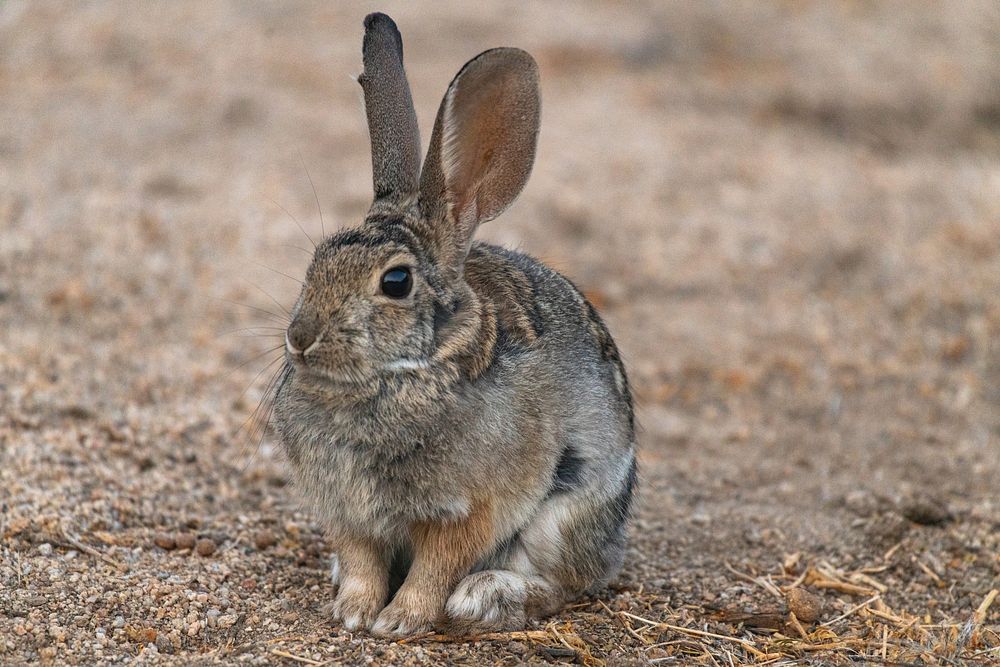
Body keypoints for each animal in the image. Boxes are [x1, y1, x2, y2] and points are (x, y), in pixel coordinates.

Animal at [272, 12, 637, 637]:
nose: (300, 340)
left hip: (566, 514)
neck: (405, 372)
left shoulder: (467, 510)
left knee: (566, 584)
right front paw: (353, 612)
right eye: (315, 261)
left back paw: (487, 598)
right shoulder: (346, 512)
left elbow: (435, 568)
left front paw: (399, 622)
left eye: (396, 282)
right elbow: (363, 559)